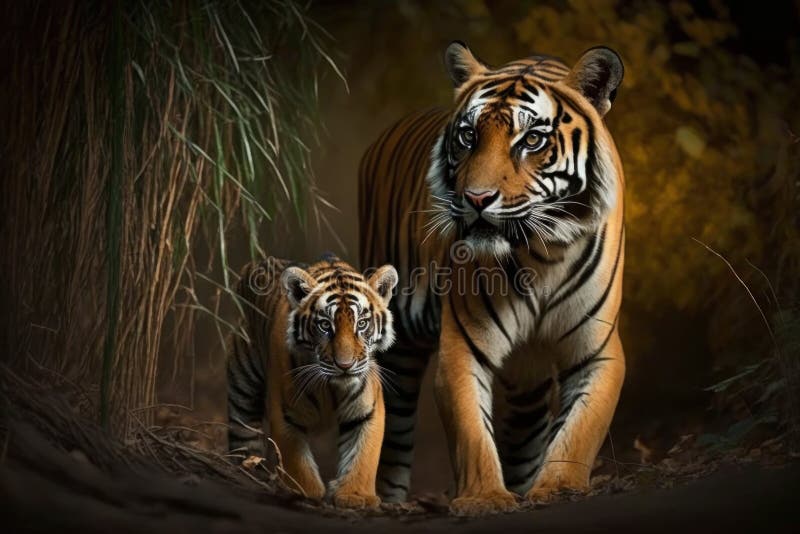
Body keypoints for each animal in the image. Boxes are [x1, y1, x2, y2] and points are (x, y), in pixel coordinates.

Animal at [226, 254, 398, 508]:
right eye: (325, 325)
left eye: (362, 324)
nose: (345, 366)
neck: (331, 388)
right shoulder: (284, 412)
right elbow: (294, 458)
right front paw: (304, 492)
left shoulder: (368, 410)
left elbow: (364, 455)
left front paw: (356, 496)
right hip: (242, 383)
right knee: (242, 431)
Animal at [358, 42, 626, 514]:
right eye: (468, 136)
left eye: (532, 140)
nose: (476, 199)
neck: (545, 252)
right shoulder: (463, 347)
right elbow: (472, 434)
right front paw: (485, 498)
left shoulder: (598, 351)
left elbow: (579, 430)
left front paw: (556, 488)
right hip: (398, 347)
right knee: (394, 431)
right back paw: (388, 501)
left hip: (527, 377)